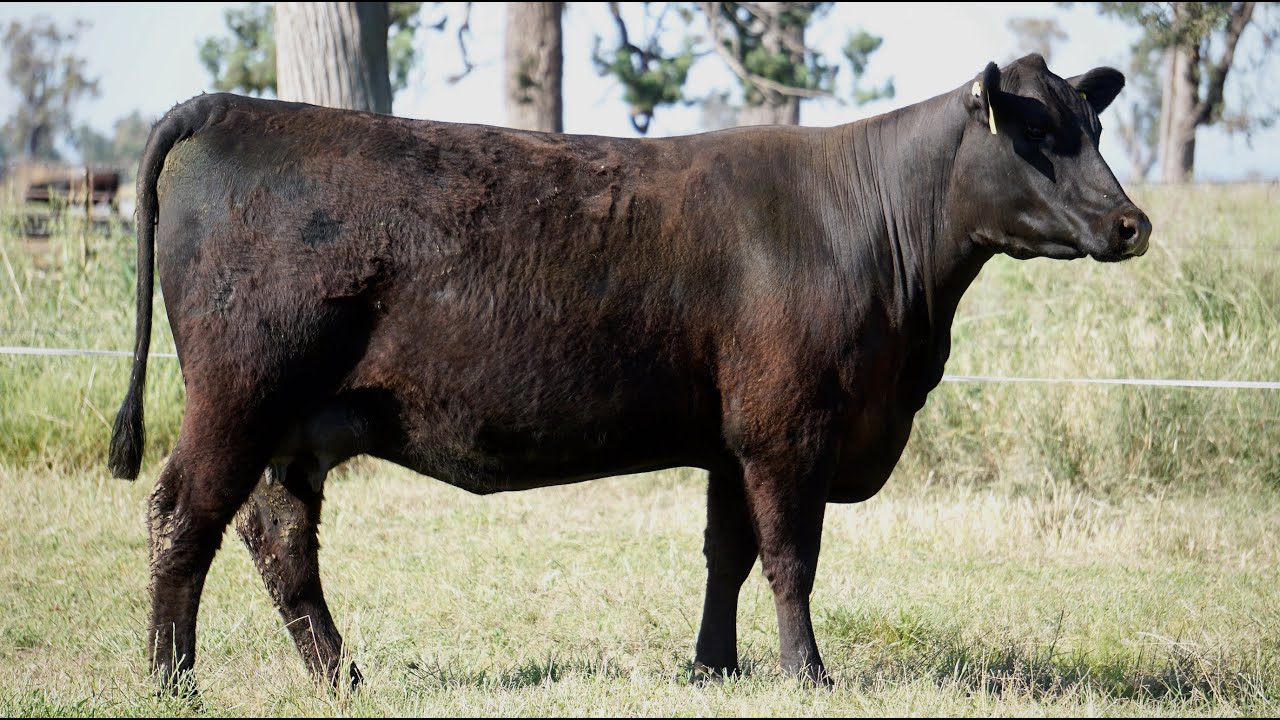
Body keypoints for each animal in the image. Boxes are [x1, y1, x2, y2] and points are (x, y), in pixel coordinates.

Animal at [109, 53, 1150, 692]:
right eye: (1035, 133)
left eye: (1093, 126)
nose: (1131, 223)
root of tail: (233, 106)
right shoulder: (790, 431)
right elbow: (791, 557)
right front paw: (808, 674)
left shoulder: (736, 440)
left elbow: (727, 555)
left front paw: (714, 668)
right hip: (240, 397)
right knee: (184, 516)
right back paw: (172, 680)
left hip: (301, 426)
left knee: (278, 538)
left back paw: (342, 679)